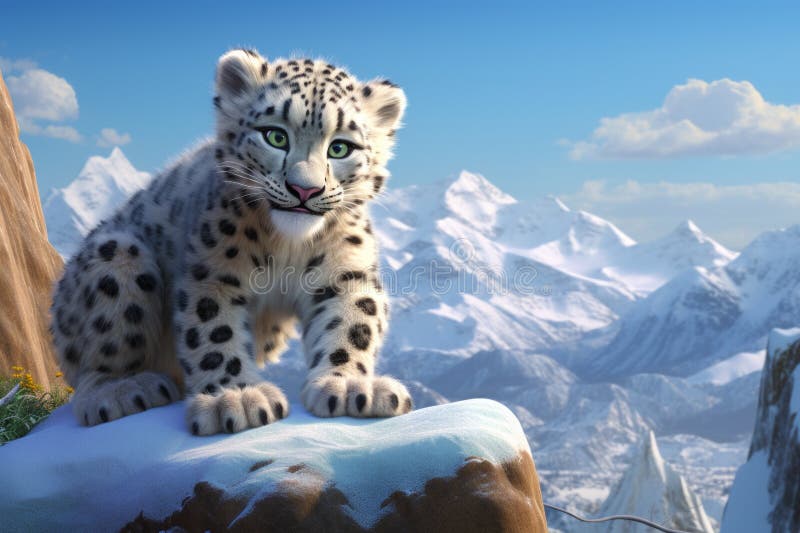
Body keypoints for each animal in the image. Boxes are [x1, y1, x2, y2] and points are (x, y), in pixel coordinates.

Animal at [50, 48, 412, 435]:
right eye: (275, 136)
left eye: (341, 147)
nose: (305, 190)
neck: (289, 246)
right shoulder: (214, 271)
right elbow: (214, 329)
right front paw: (238, 397)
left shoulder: (345, 272)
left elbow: (352, 323)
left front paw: (349, 387)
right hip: (116, 258)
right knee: (90, 365)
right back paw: (123, 389)